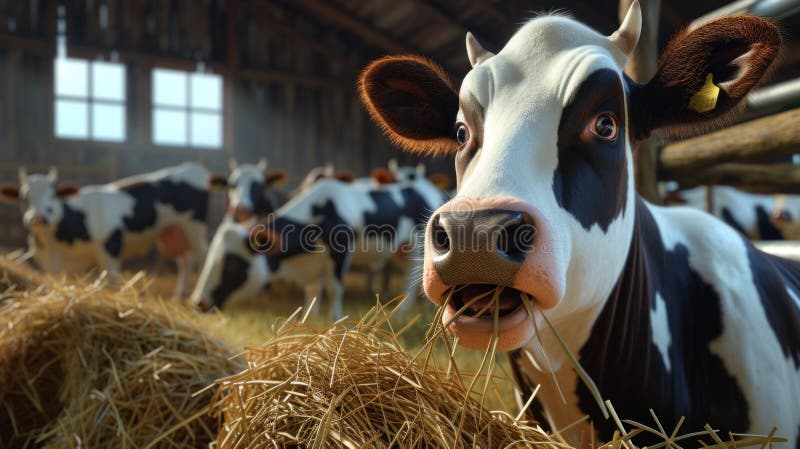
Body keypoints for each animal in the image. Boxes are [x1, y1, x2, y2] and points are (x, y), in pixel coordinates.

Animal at [0, 163, 212, 298]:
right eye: (23, 198)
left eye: (53, 196)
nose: (38, 218)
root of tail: (192, 167)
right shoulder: (51, 264)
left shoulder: (111, 248)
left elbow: (112, 283)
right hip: (172, 233)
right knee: (185, 262)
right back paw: (179, 298)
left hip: (194, 228)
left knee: (203, 256)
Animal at [190, 171, 446, 318]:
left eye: (232, 264)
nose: (198, 303)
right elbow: (313, 290)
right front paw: (309, 318)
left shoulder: (341, 252)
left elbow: (334, 289)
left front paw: (335, 320)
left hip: (418, 247)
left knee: (412, 279)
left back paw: (403, 311)